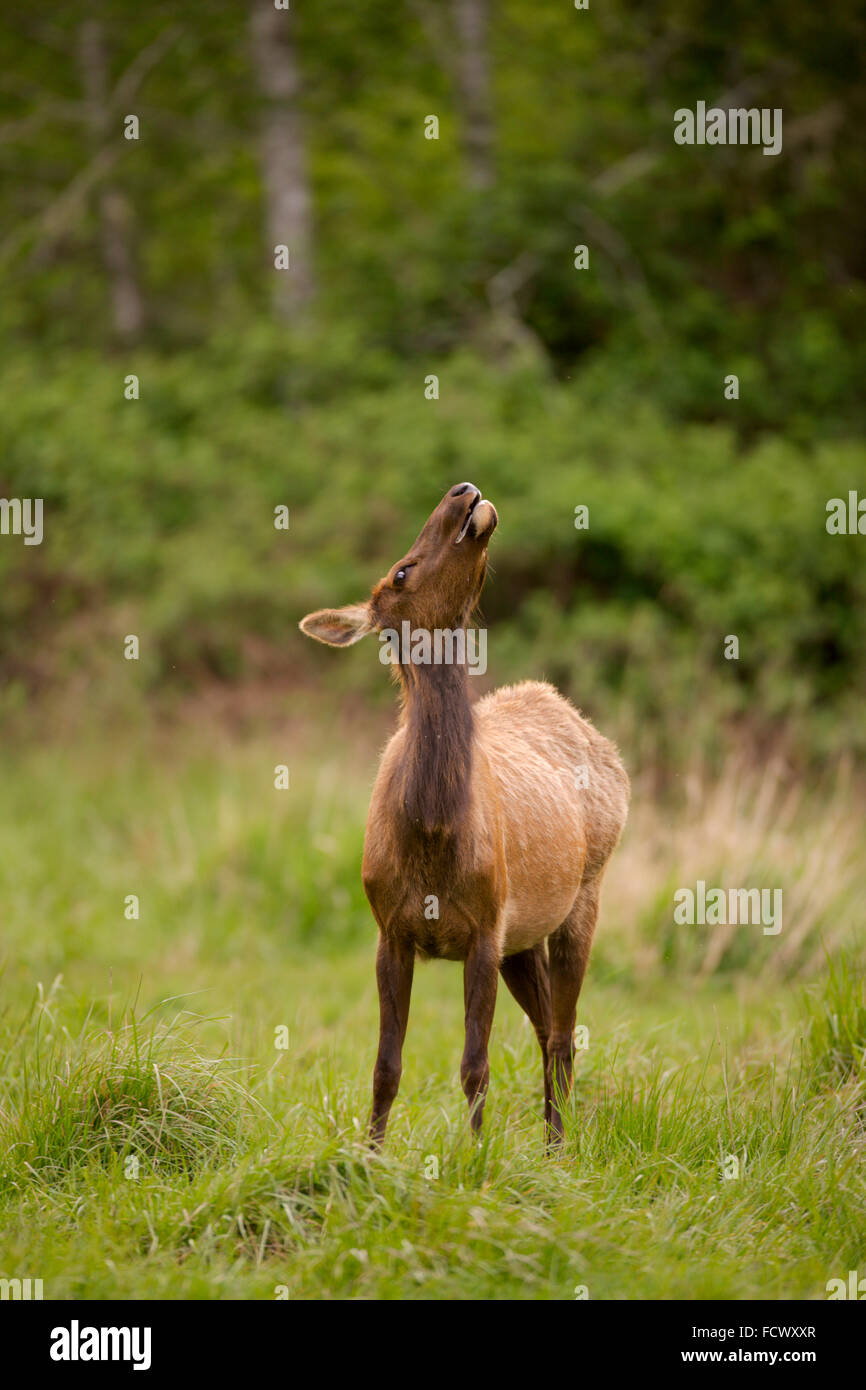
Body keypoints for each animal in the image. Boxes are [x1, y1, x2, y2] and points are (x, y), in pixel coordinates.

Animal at [300, 483, 629, 1146]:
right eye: (401, 572)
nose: (463, 491)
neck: (431, 831)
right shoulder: (391, 930)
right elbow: (386, 1066)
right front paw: (370, 1154)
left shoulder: (483, 927)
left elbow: (474, 1065)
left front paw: (473, 1155)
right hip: (522, 938)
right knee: (548, 1029)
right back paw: (552, 1141)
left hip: (583, 892)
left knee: (563, 1034)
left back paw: (560, 1147)